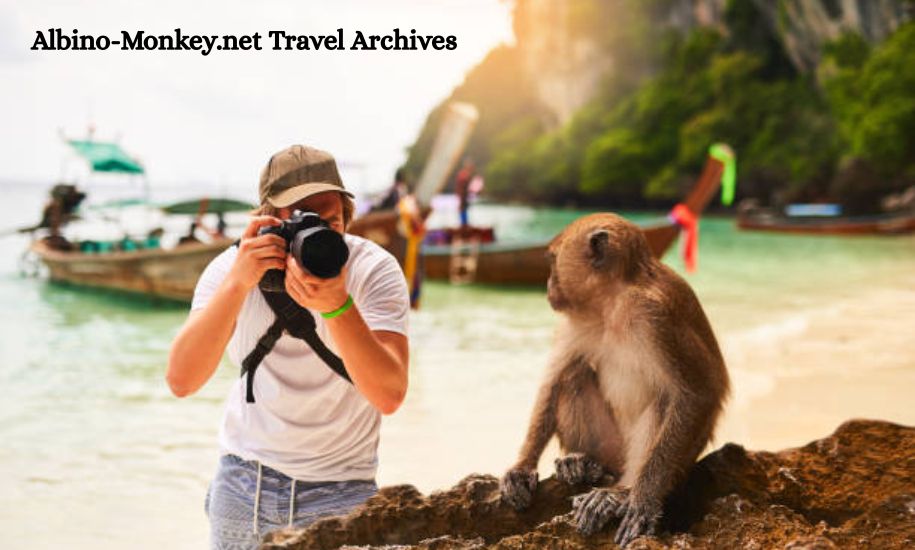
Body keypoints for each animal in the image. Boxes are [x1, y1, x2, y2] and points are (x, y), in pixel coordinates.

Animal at [500, 213, 729, 547]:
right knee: (573, 375)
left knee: (665, 401)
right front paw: (522, 467)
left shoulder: (655, 315)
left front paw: (641, 500)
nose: (548, 285)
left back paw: (620, 493)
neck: (613, 301)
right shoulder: (577, 319)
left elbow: (699, 392)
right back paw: (583, 462)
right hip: (611, 446)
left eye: (552, 260)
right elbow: (553, 379)